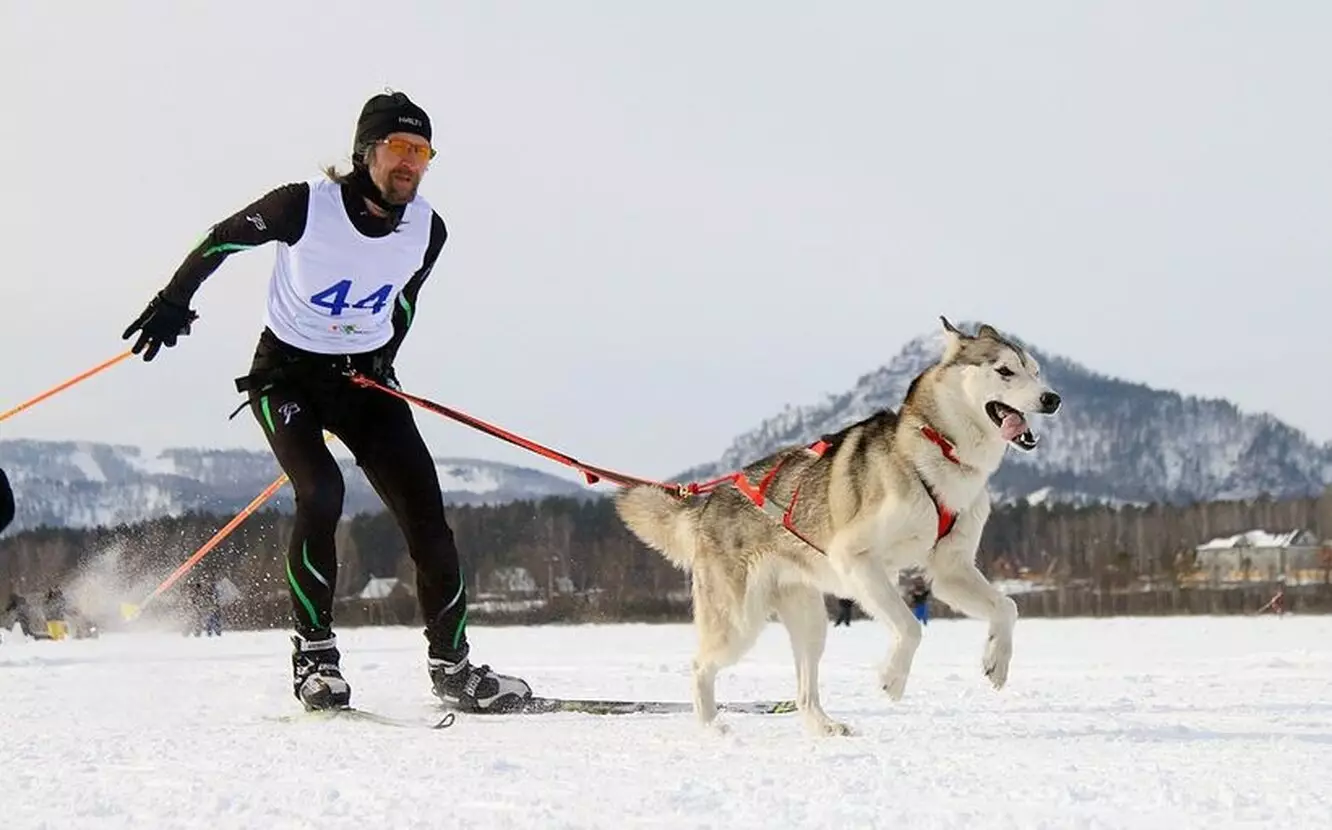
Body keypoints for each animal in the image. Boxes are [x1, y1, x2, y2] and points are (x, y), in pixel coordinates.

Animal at [612, 317, 1060, 735]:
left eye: (1036, 370)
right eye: (1005, 371)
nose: (1052, 398)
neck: (940, 452)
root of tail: (709, 502)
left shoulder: (951, 571)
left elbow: (1008, 606)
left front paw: (996, 660)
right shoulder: (856, 559)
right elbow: (909, 627)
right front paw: (892, 678)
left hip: (810, 622)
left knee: (804, 690)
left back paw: (823, 726)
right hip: (738, 622)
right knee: (699, 665)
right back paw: (711, 727)